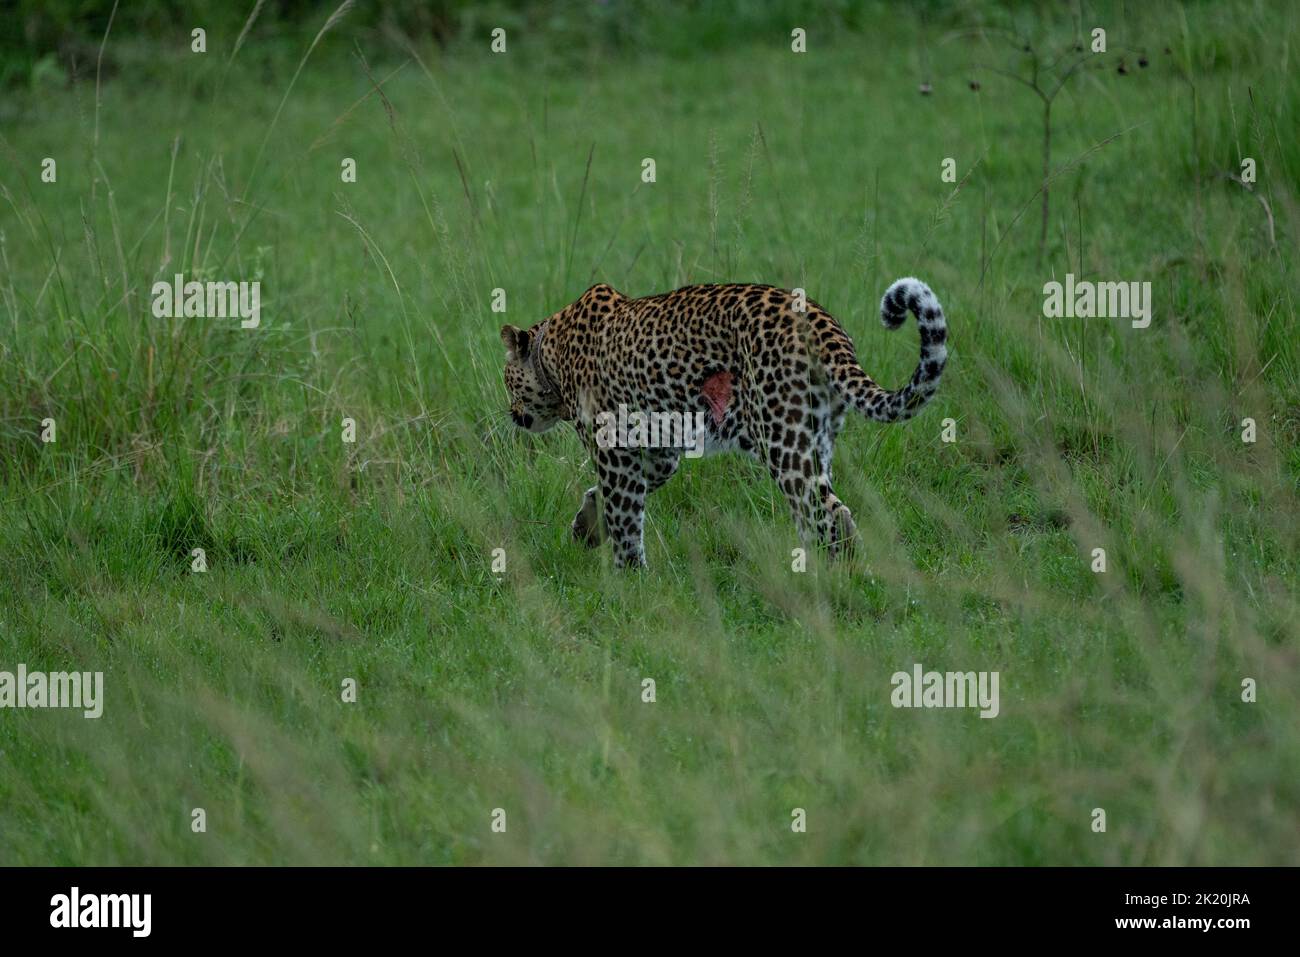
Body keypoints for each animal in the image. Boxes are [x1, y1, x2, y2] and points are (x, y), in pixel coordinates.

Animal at [501, 278, 948, 568]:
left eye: (506, 379)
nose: (511, 413)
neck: (551, 354)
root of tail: (819, 319)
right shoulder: (660, 449)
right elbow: (624, 493)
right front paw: (587, 525)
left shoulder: (614, 450)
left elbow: (626, 514)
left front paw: (630, 579)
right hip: (817, 437)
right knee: (827, 512)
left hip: (781, 440)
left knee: (824, 514)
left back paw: (830, 580)